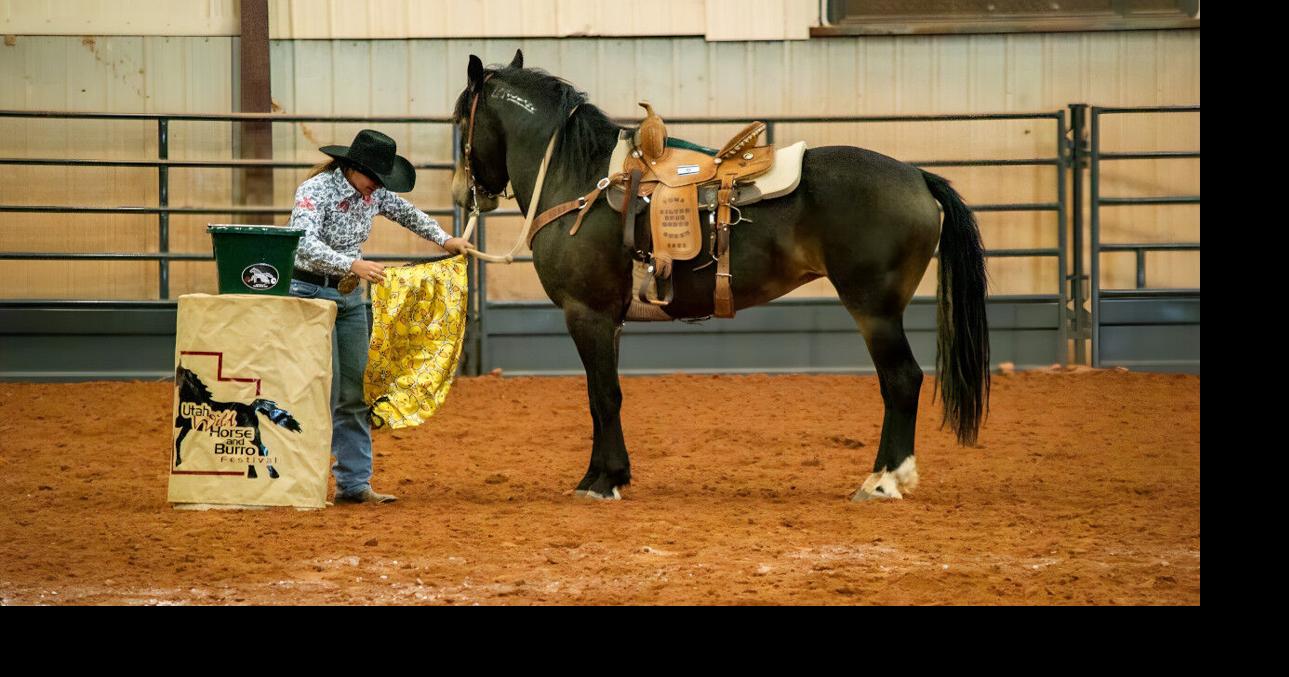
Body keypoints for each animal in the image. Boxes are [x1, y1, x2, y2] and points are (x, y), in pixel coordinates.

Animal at [173, 365, 301, 480]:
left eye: (183, 373)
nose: (179, 367)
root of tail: (251, 407)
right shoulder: (183, 426)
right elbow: (178, 440)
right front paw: (178, 462)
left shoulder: (188, 426)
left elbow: (178, 440)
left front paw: (177, 462)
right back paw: (254, 474)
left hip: (252, 433)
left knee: (262, 449)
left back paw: (272, 474)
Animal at [451, 50, 989, 501]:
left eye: (460, 121)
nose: (461, 193)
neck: (580, 180)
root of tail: (917, 176)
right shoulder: (608, 320)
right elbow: (606, 394)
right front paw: (609, 474)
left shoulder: (587, 314)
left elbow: (602, 396)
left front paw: (601, 481)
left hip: (874, 310)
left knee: (901, 380)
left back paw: (884, 481)